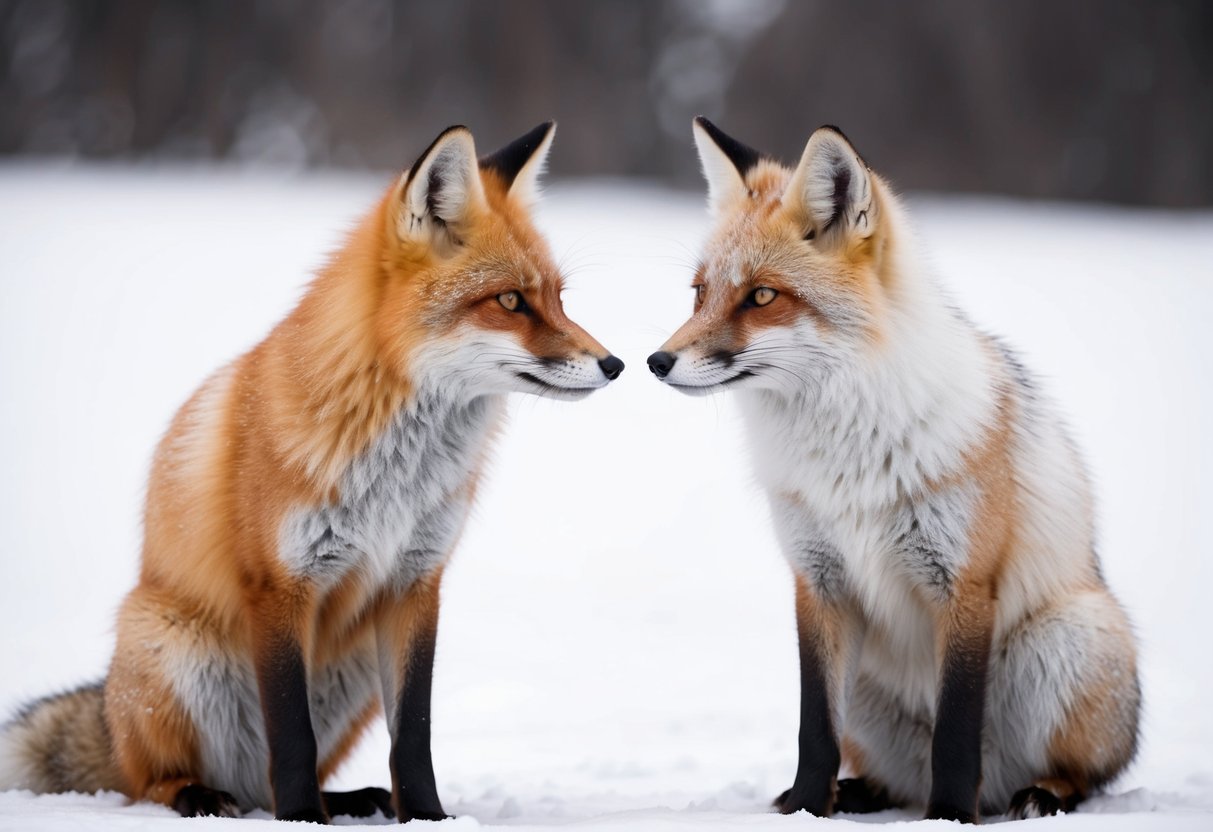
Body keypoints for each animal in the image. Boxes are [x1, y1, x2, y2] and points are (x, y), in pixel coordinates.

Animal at [0, 121, 624, 823]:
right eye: (511, 301)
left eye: (559, 299)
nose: (615, 364)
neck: (394, 473)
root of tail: (110, 717)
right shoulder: (279, 585)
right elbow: (291, 735)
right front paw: (300, 819)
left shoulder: (416, 582)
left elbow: (414, 735)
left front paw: (428, 818)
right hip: (169, 648)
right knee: (155, 781)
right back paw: (203, 795)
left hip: (353, 675)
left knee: (274, 774)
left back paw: (351, 799)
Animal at [648, 117, 1140, 822]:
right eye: (699, 292)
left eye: (762, 296)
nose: (656, 362)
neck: (847, 454)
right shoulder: (818, 581)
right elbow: (814, 731)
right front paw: (806, 808)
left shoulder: (962, 585)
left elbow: (956, 734)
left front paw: (949, 818)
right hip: (870, 695)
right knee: (888, 772)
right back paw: (861, 793)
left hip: (1070, 638)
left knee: (1082, 774)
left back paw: (1036, 795)